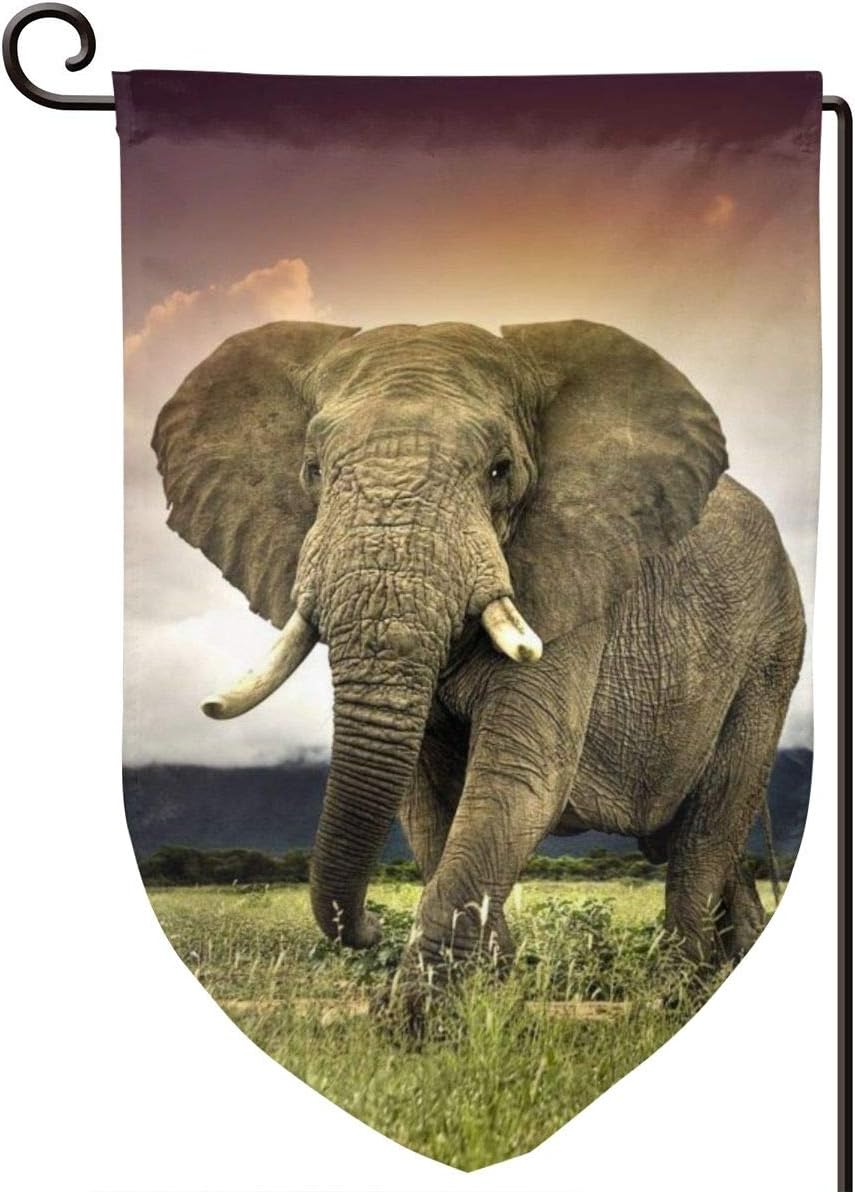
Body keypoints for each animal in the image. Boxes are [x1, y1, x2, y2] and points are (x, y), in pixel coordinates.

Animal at [152, 318, 805, 1008]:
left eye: (500, 470)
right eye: (312, 470)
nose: (367, 925)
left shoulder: (571, 582)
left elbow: (519, 775)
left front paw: (418, 1018)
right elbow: (425, 801)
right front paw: (490, 991)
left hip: (771, 651)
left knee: (708, 829)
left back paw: (677, 992)